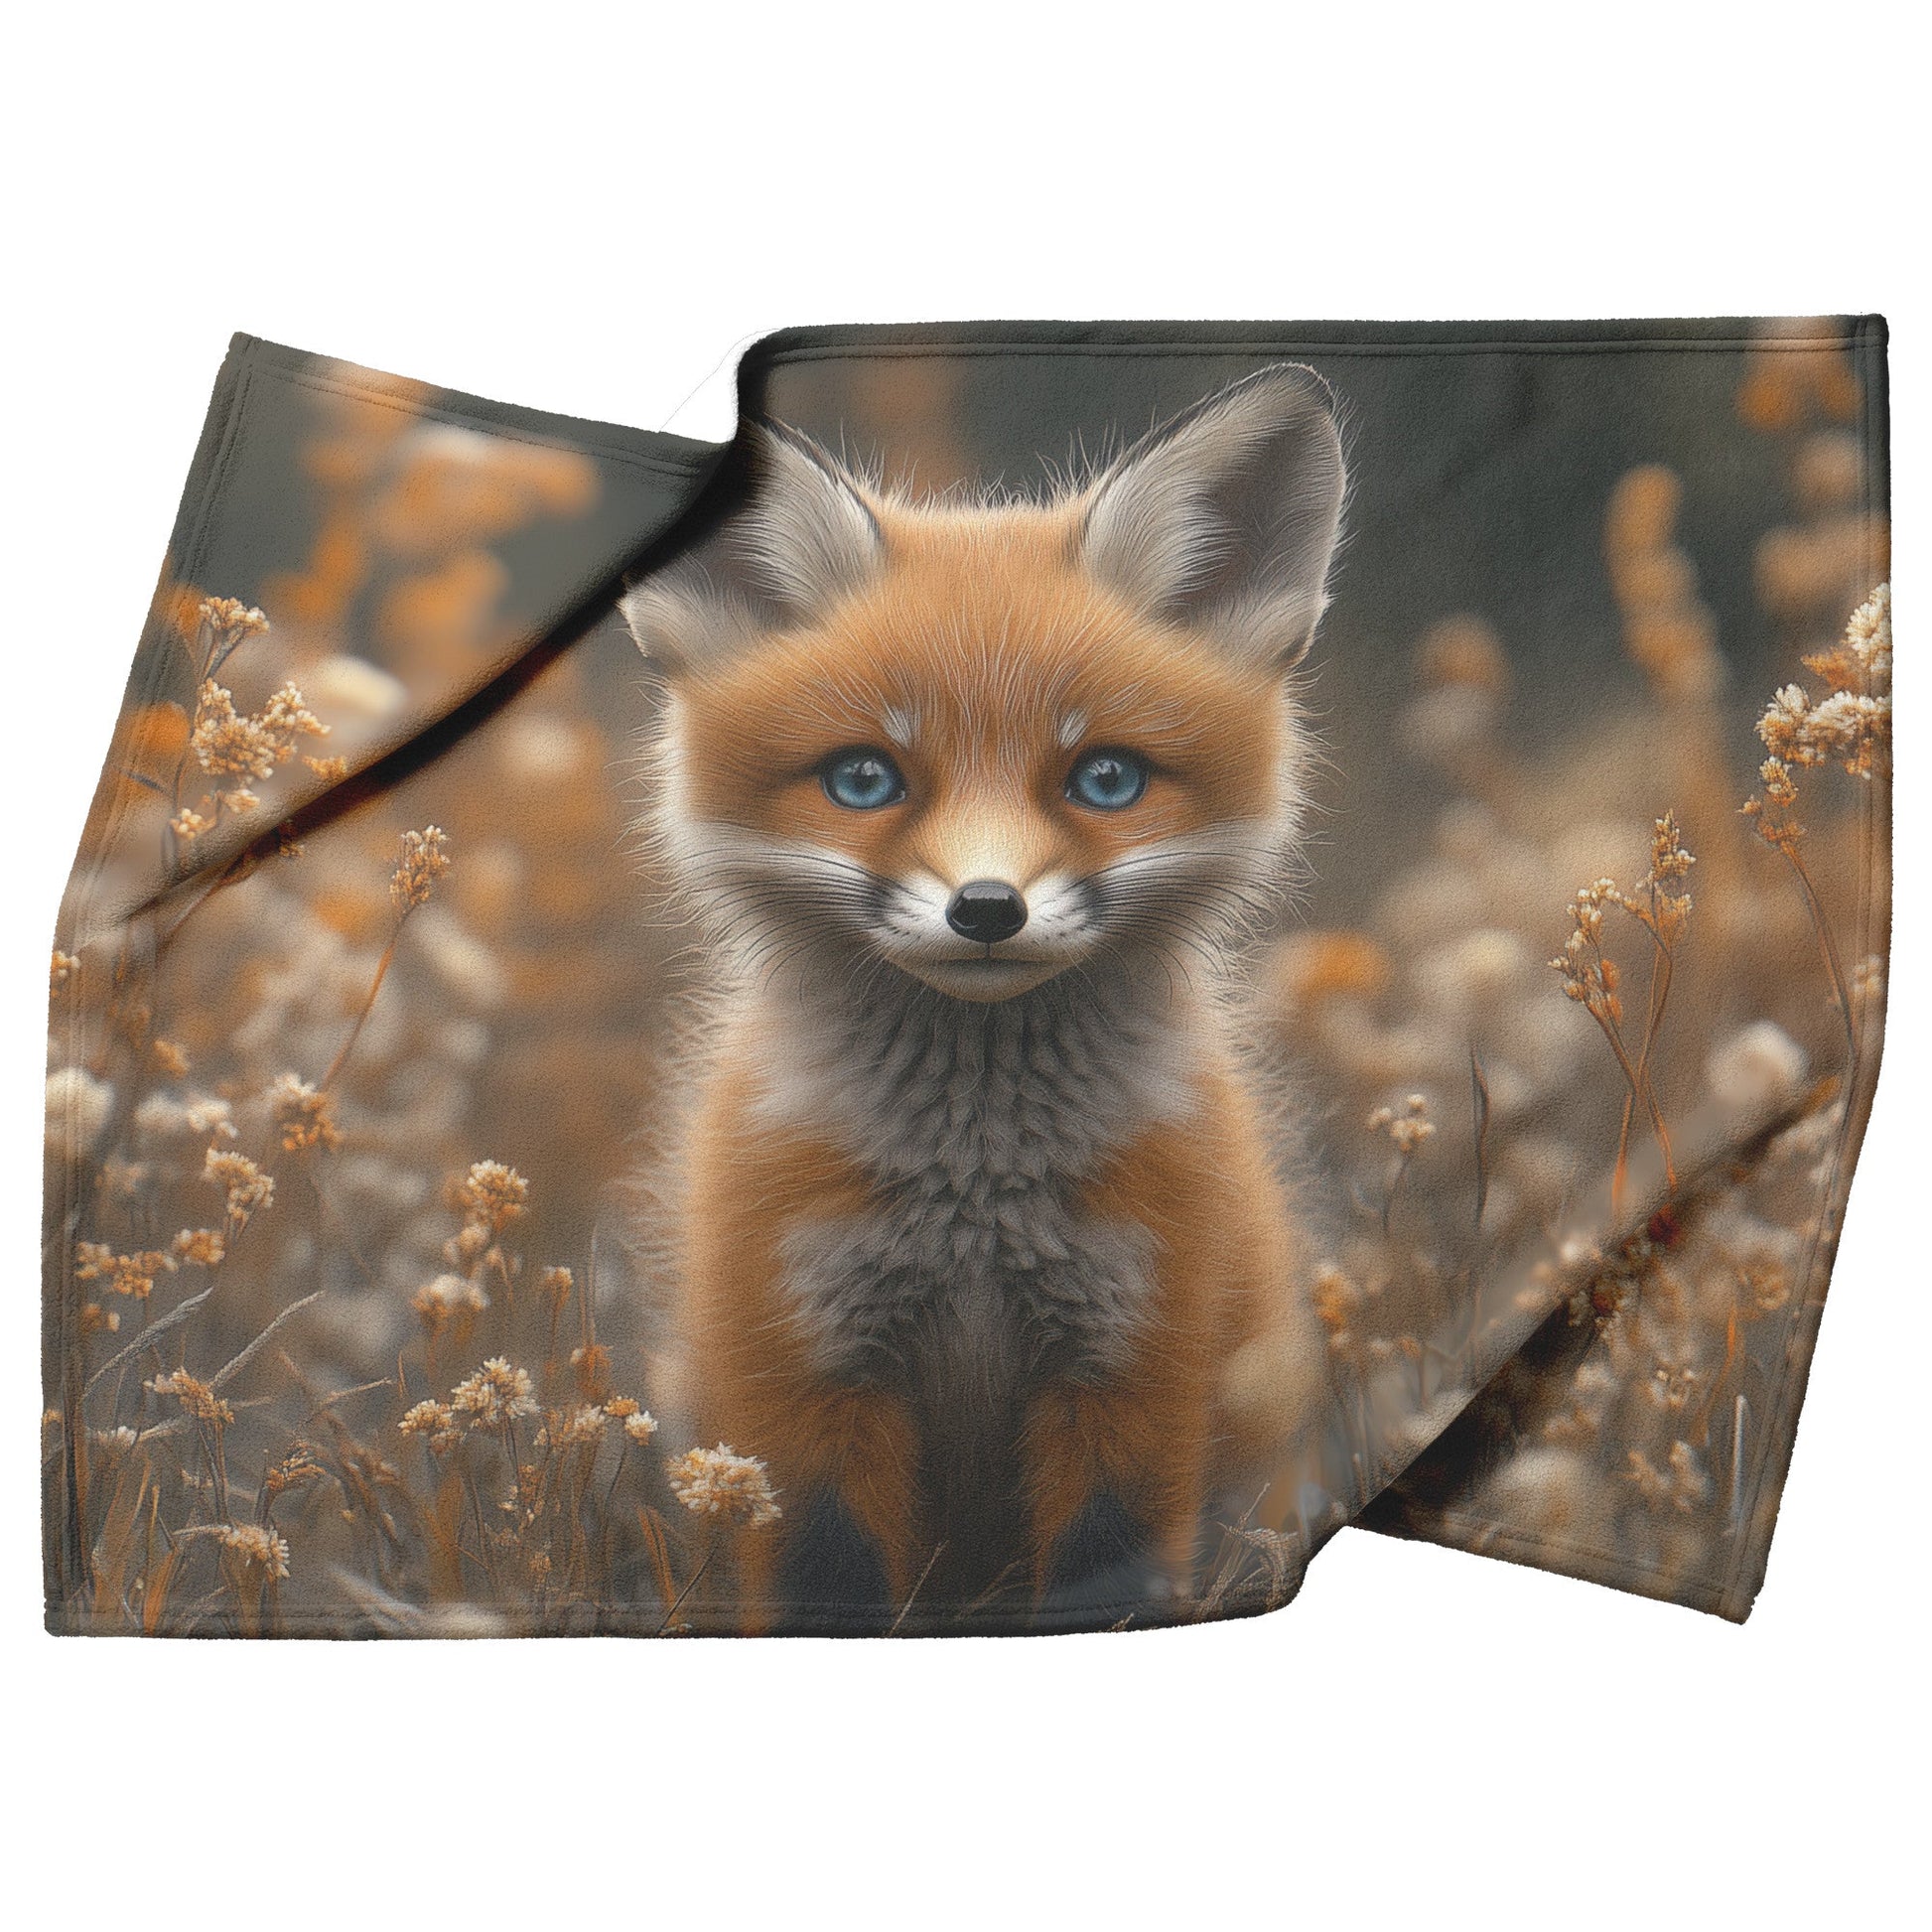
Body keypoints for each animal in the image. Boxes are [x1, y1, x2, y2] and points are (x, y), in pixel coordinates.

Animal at [620, 363, 1348, 1630]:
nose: (986, 908)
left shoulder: (1131, 1367)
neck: (972, 1195)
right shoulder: (803, 1375)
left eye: (1103, 778)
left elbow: (1107, 1576)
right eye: (864, 777)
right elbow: (824, 1583)